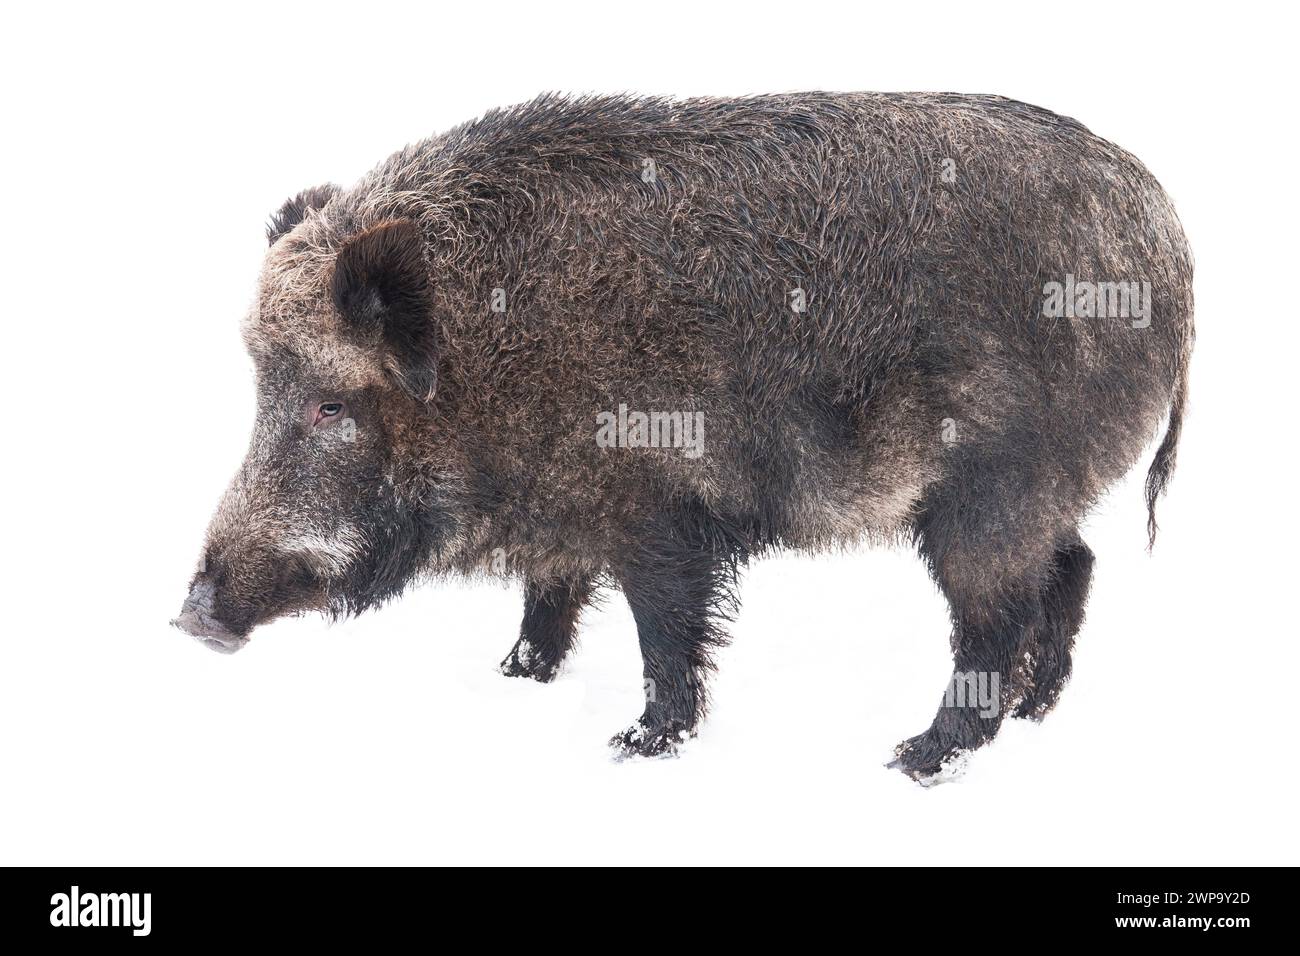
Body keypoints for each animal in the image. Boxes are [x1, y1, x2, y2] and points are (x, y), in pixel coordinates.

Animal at [174, 93, 1193, 780]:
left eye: (330, 406)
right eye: (261, 388)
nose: (193, 616)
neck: (491, 353)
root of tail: (1170, 240)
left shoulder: (656, 514)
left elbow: (665, 635)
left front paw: (635, 746)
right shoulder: (568, 517)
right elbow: (549, 601)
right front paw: (514, 680)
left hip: (988, 495)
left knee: (996, 618)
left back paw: (915, 757)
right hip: (1040, 494)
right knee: (1075, 567)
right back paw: (1036, 715)